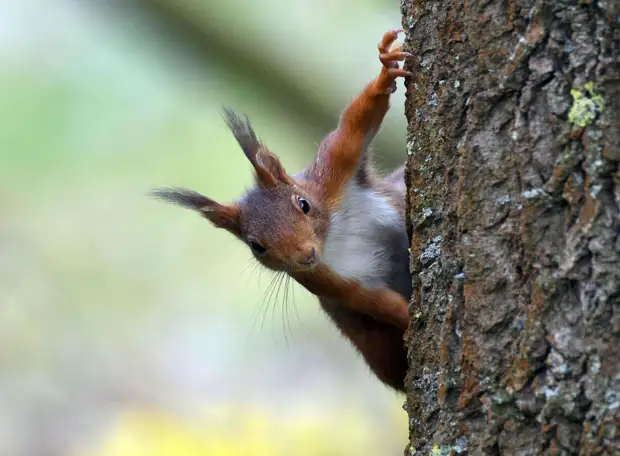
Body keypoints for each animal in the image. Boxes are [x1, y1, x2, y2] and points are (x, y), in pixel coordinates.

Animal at [150, 28, 412, 392]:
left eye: (304, 204)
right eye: (257, 247)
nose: (304, 254)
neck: (333, 236)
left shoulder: (332, 175)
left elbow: (353, 128)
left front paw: (386, 68)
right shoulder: (323, 280)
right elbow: (373, 302)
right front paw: (411, 319)